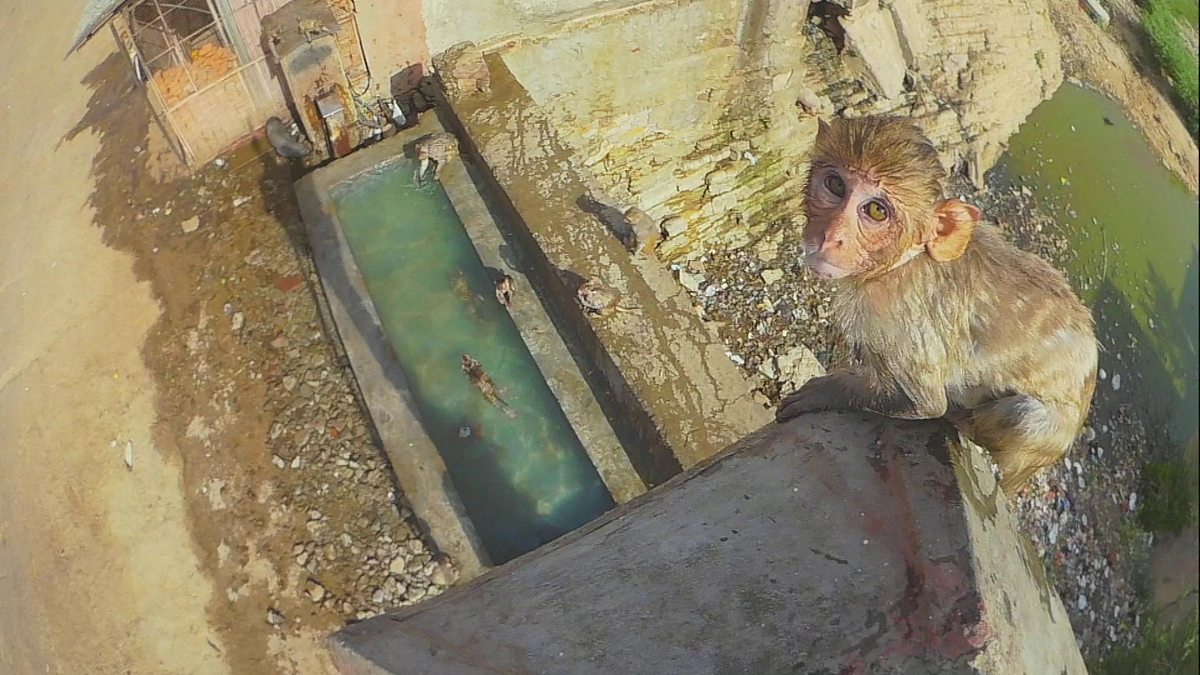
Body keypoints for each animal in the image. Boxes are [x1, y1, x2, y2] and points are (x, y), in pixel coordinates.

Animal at [775, 116, 1099, 496]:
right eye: (835, 185)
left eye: (875, 210)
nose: (830, 237)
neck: (901, 263)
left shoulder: (895, 316)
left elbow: (925, 403)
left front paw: (827, 391)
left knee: (1025, 414)